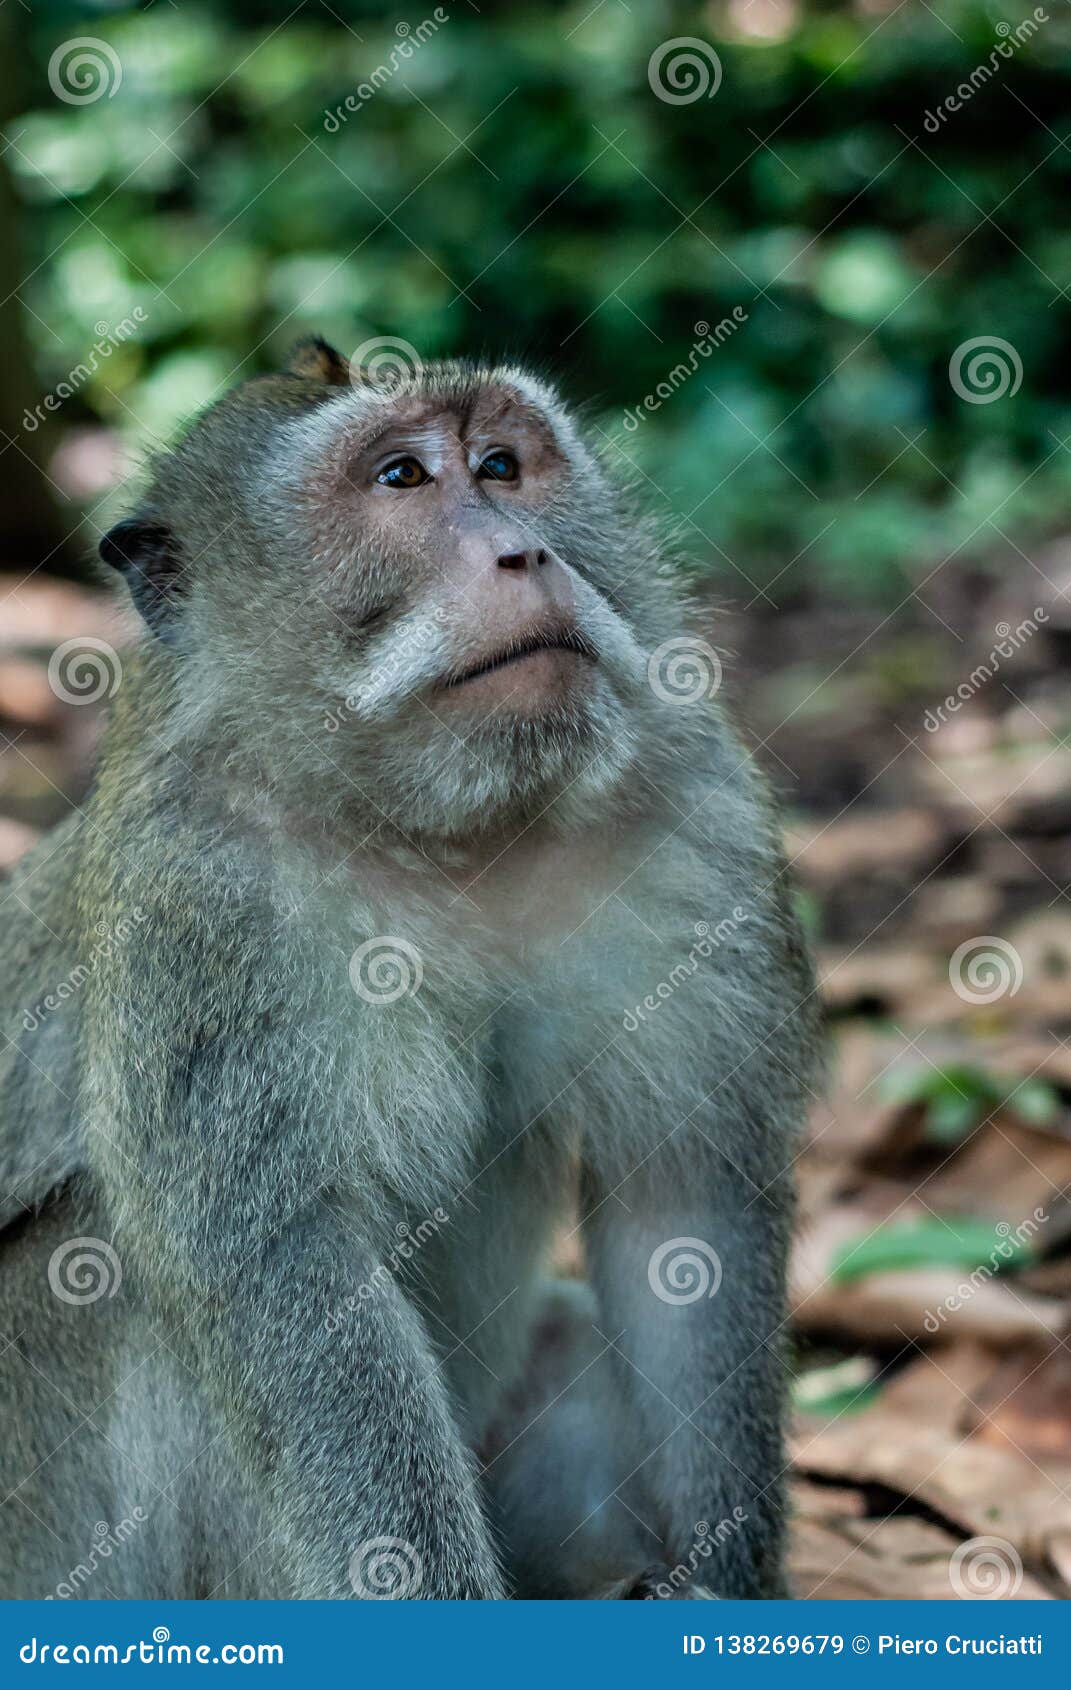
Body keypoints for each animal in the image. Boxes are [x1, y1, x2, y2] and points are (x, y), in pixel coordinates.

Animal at [0, 337, 820, 1600]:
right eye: (399, 478)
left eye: (501, 464)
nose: (522, 550)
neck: (439, 829)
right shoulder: (209, 906)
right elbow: (286, 1274)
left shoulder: (693, 807)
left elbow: (683, 1204)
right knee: (123, 1285)